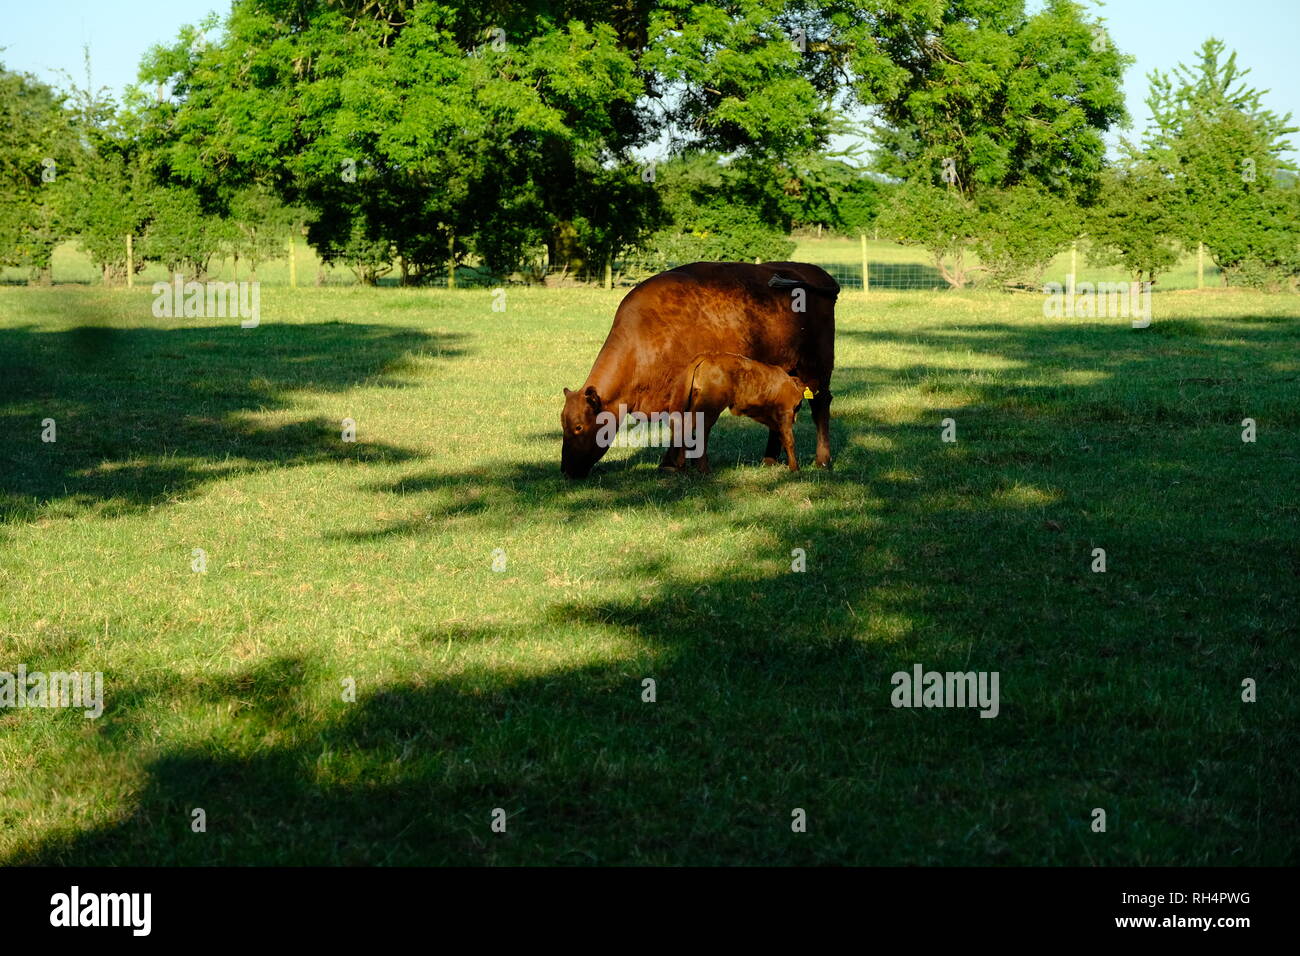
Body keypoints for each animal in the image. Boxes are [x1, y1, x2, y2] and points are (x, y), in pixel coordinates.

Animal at [668, 352, 809, 474]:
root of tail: (709, 355)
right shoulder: (786, 412)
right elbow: (789, 440)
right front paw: (795, 468)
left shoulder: (777, 421)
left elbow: (781, 438)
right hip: (709, 407)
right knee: (697, 431)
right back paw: (702, 469)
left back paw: (683, 466)